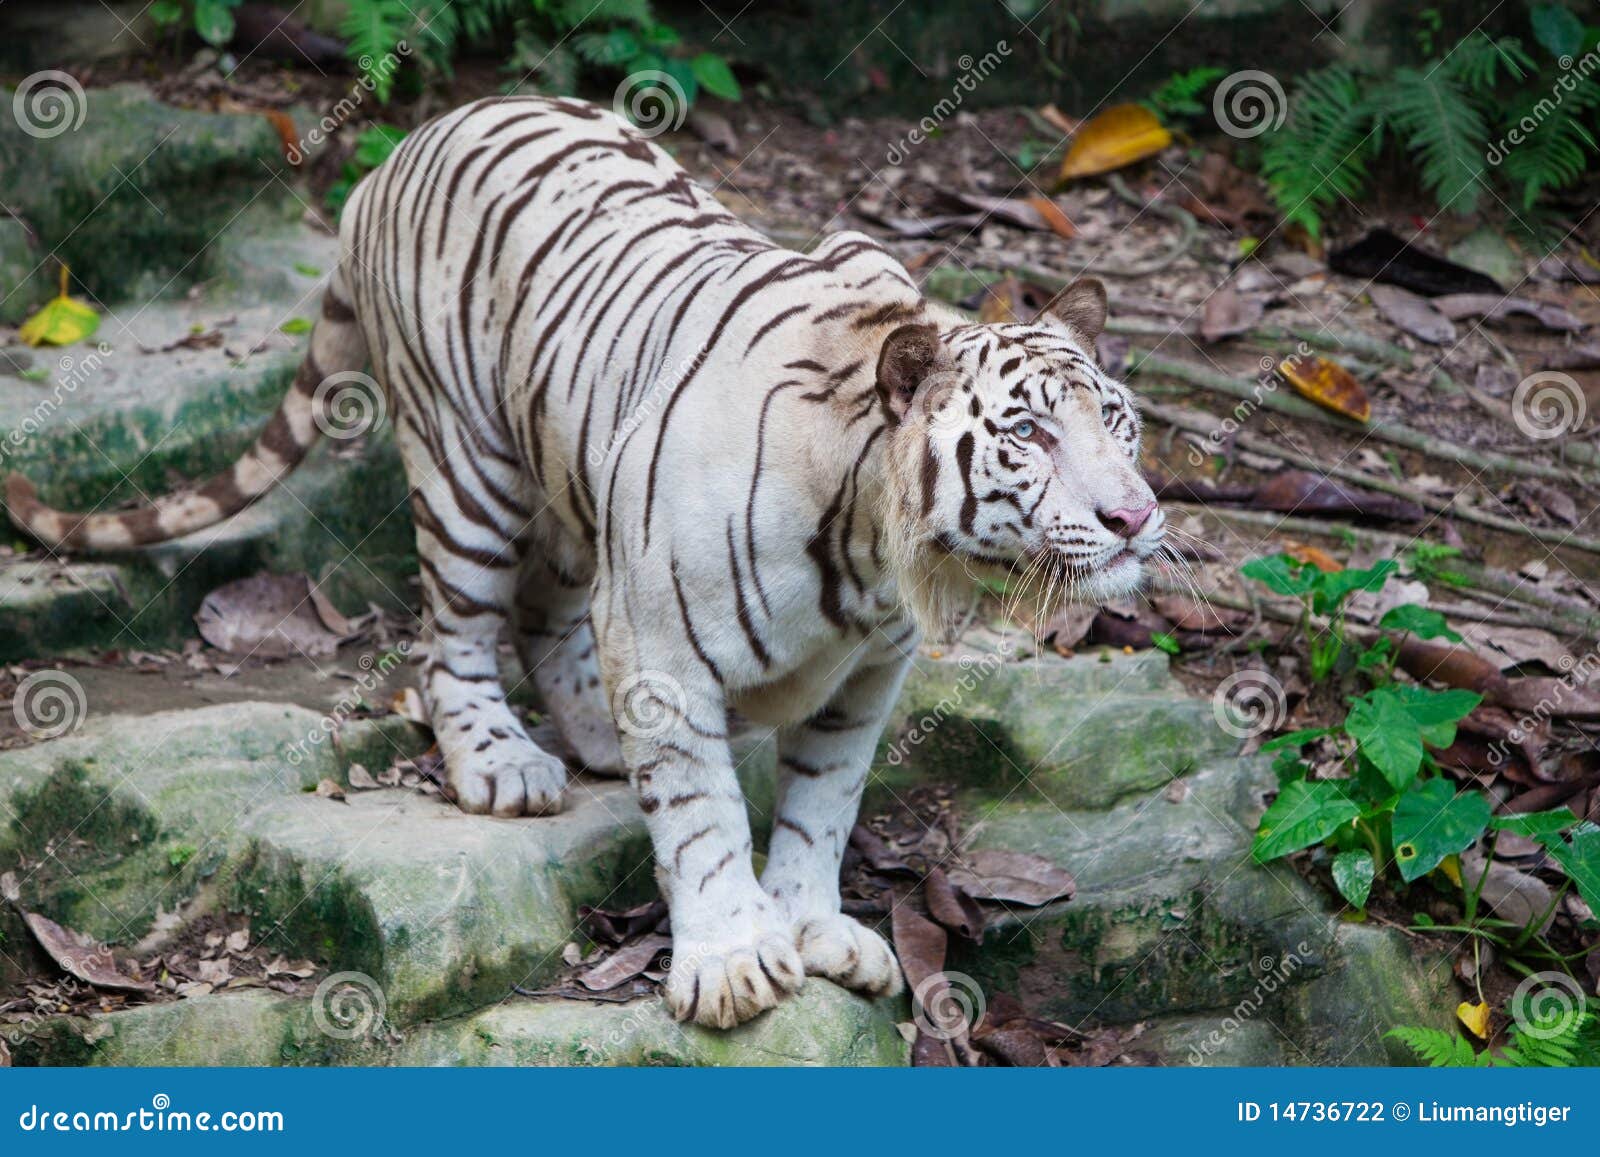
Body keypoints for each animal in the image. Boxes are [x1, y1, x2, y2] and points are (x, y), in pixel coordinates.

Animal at [6, 95, 1166, 1030]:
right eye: (1028, 435)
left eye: (1116, 421)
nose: (1136, 513)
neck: (874, 560)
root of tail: (399, 149)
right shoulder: (662, 641)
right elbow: (699, 811)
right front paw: (733, 961)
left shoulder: (864, 674)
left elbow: (821, 804)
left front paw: (811, 926)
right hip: (469, 472)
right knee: (451, 637)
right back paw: (503, 764)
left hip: (574, 485)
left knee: (543, 615)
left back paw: (597, 735)